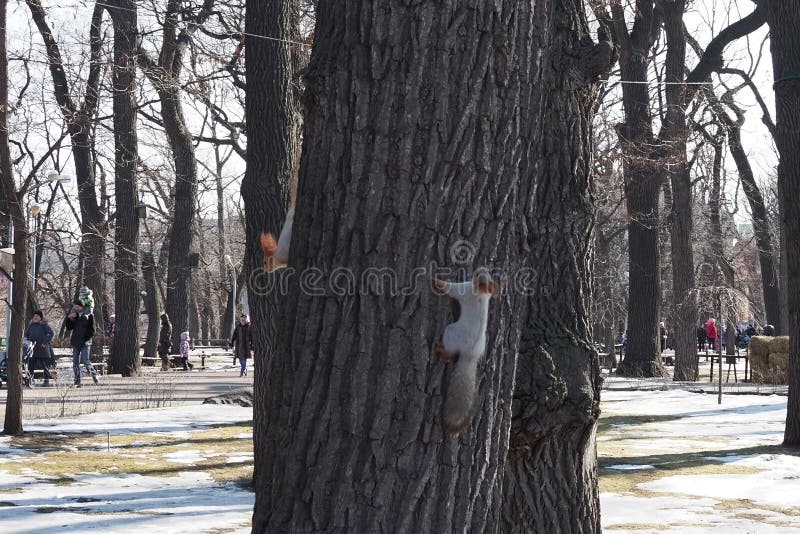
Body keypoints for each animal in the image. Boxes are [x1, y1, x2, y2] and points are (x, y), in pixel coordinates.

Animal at [433, 267, 500, 437]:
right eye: (485, 274)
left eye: (478, 276)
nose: (481, 267)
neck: (481, 295)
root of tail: (470, 355)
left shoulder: (464, 290)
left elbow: (450, 288)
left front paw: (436, 280)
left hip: (451, 332)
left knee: (451, 352)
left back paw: (441, 348)